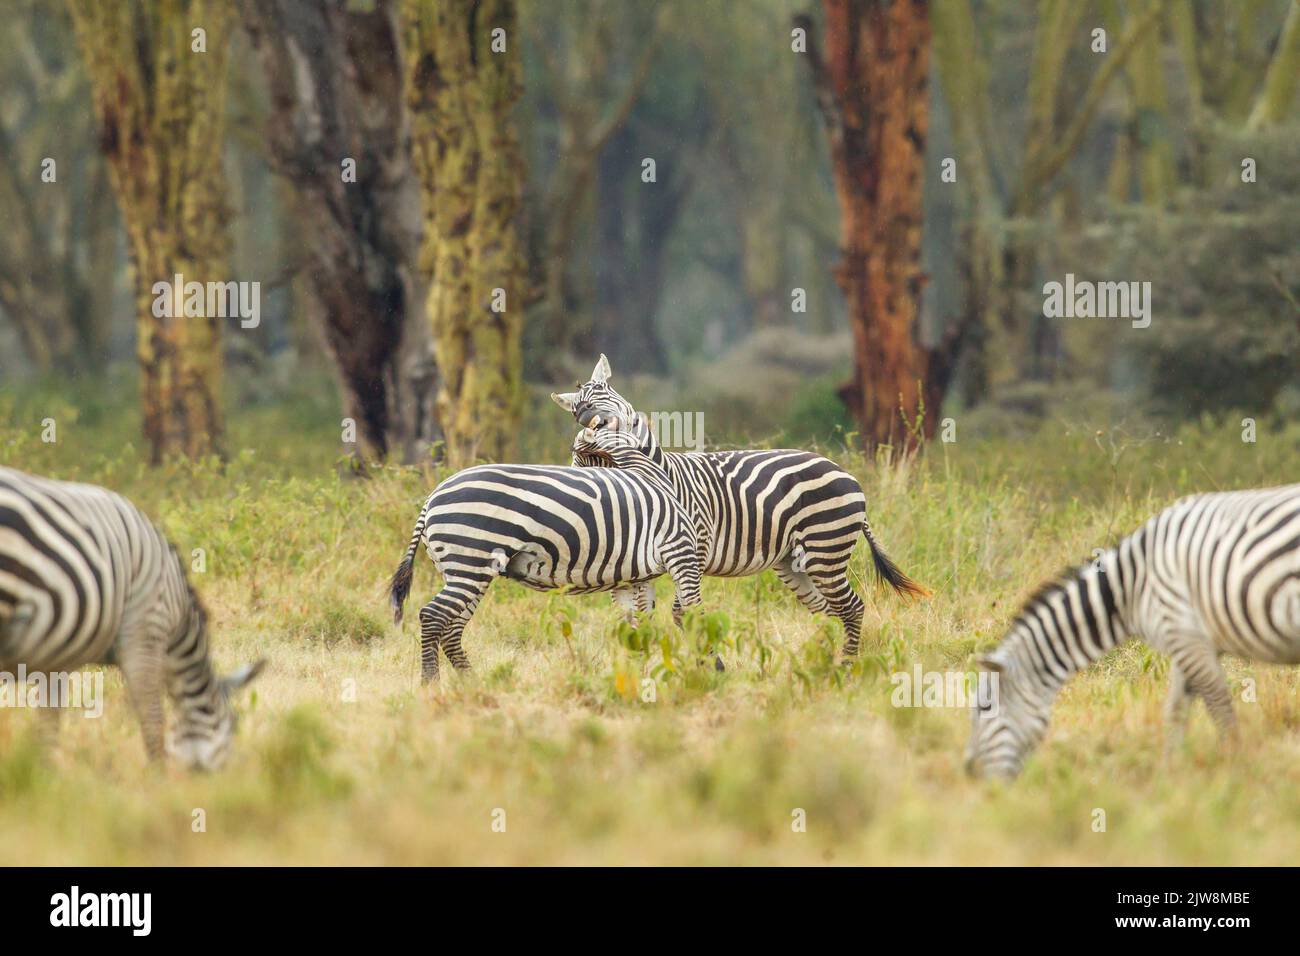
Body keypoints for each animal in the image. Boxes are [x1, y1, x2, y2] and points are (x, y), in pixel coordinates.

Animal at [0, 468, 263, 775]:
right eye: (234, 725)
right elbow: (152, 716)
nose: (222, 780)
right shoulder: (146, 632)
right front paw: (158, 777)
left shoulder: (57, 650)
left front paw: (44, 775)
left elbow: (49, 719)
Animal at [390, 421, 707, 686]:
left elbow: (637, 628)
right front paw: (707, 669)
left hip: (463, 569)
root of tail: (431, 498)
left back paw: (474, 683)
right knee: (433, 616)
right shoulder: (681, 552)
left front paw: (636, 675)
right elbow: (693, 613)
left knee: (452, 627)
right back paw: (431, 683)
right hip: (470, 560)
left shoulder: (634, 578)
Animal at [548, 351, 925, 658]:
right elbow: (640, 619)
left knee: (852, 608)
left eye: (602, 393)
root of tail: (845, 473)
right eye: (576, 408)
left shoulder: (694, 551)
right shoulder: (639, 565)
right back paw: (823, 660)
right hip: (794, 563)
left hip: (825, 549)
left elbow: (681, 613)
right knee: (829, 611)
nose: (585, 418)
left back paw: (845, 667)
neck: (661, 471)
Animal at [972, 481, 1300, 780]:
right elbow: (1175, 710)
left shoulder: (1184, 632)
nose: (969, 773)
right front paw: (1170, 775)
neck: (1130, 586)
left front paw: (1235, 767)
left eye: (985, 708)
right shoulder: (1187, 639)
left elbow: (1218, 706)